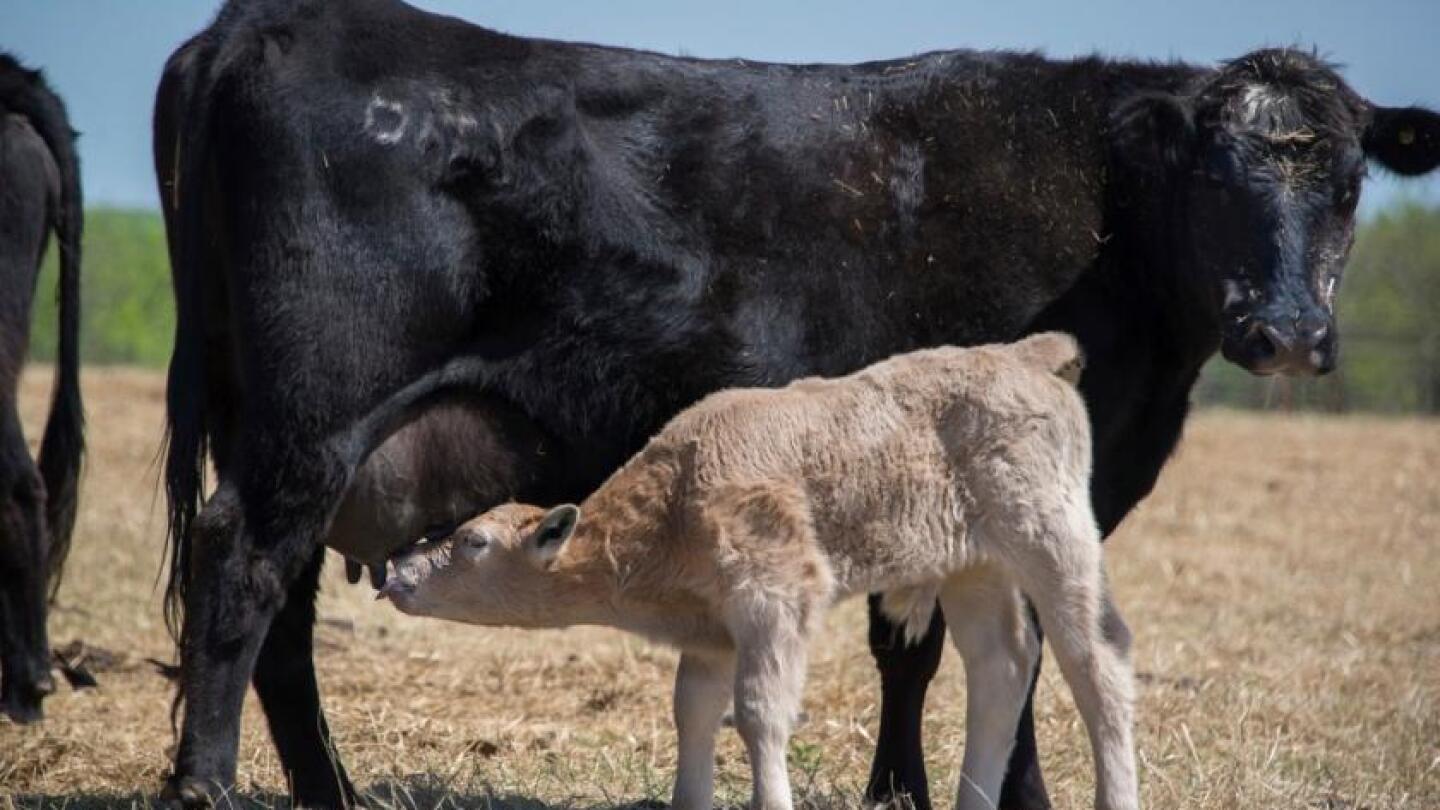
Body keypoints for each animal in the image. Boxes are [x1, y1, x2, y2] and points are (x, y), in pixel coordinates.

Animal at [153, 0, 1440, 806]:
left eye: (1345, 184)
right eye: (1216, 177)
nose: (1289, 335)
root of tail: (259, 24)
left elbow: (929, 648)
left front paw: (922, 789)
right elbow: (945, 649)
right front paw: (948, 790)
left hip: (296, 438)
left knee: (282, 614)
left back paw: (329, 792)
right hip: (308, 426)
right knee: (243, 572)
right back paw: (207, 784)